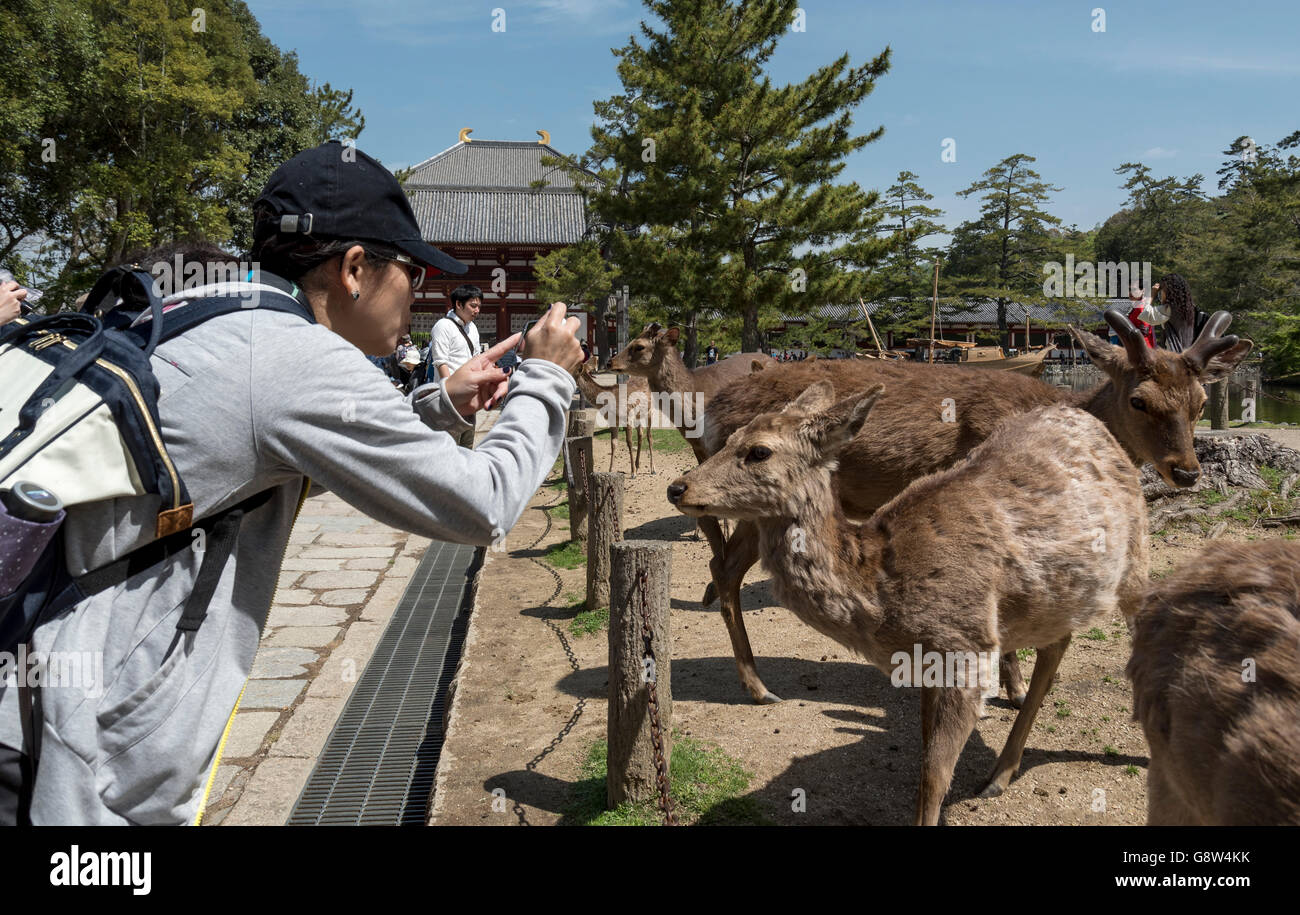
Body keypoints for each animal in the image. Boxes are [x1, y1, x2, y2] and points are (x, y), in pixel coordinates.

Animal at [667, 384, 1150, 825]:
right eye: (730, 437)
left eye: (758, 451)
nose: (677, 487)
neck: (881, 591)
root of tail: (1097, 426)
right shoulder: (924, 662)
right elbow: (922, 757)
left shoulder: (967, 648)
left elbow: (935, 773)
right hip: (1056, 596)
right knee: (1057, 646)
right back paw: (1000, 774)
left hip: (1137, 559)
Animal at [692, 309, 1251, 705]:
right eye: (1139, 400)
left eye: (1201, 401)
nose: (1187, 472)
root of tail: (714, 409)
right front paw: (1015, 687)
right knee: (725, 568)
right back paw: (758, 686)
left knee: (722, 564)